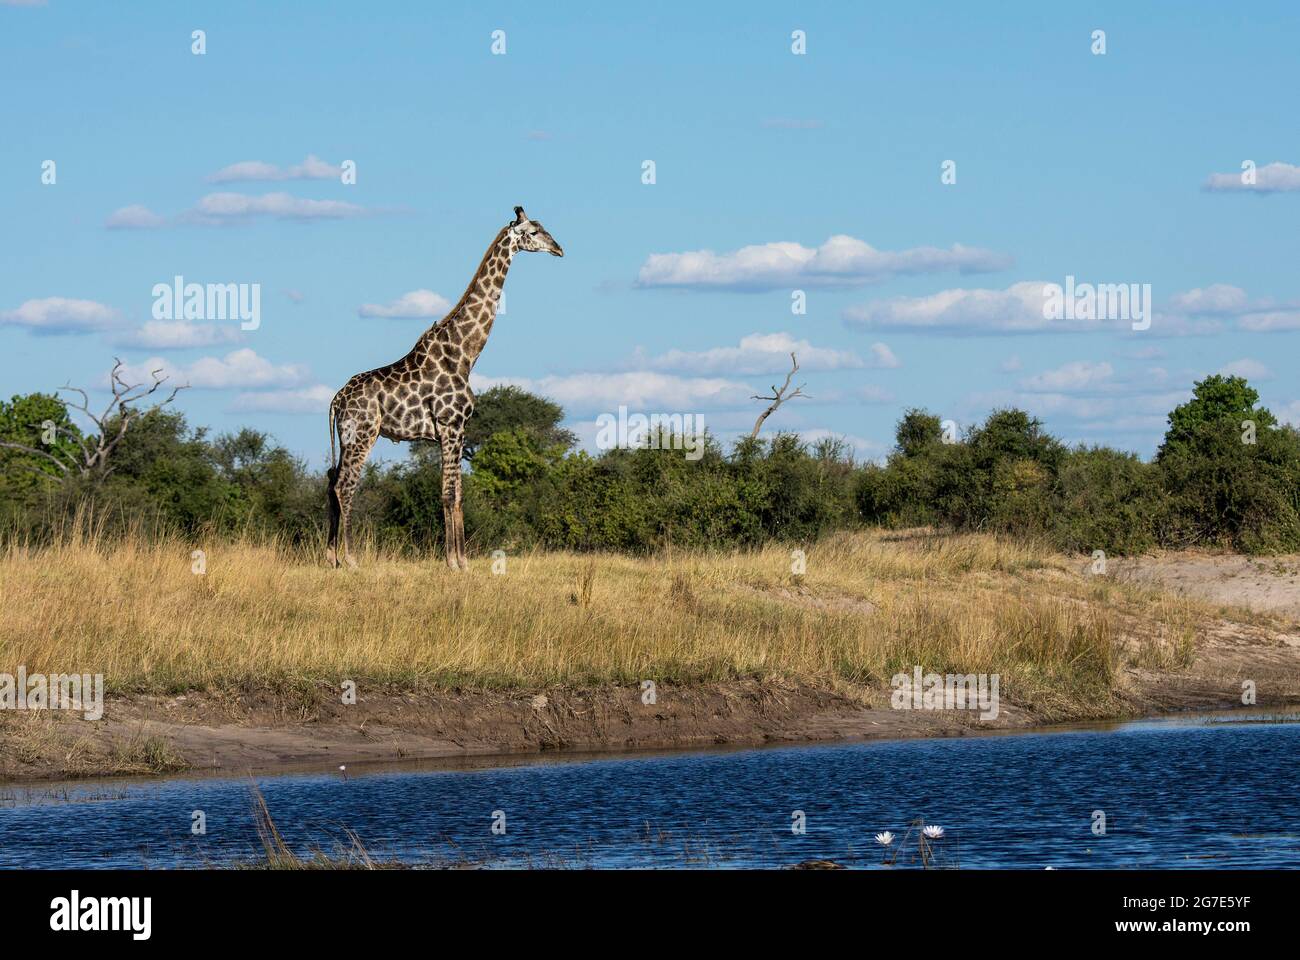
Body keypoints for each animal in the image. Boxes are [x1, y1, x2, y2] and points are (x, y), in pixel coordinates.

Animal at [326, 206, 563, 570]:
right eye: (534, 231)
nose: (559, 248)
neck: (465, 352)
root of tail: (337, 400)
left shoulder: (454, 431)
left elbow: (456, 492)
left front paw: (460, 560)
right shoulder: (452, 426)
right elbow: (450, 493)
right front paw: (455, 561)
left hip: (346, 437)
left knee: (331, 483)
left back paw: (331, 557)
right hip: (362, 434)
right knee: (345, 486)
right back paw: (350, 559)